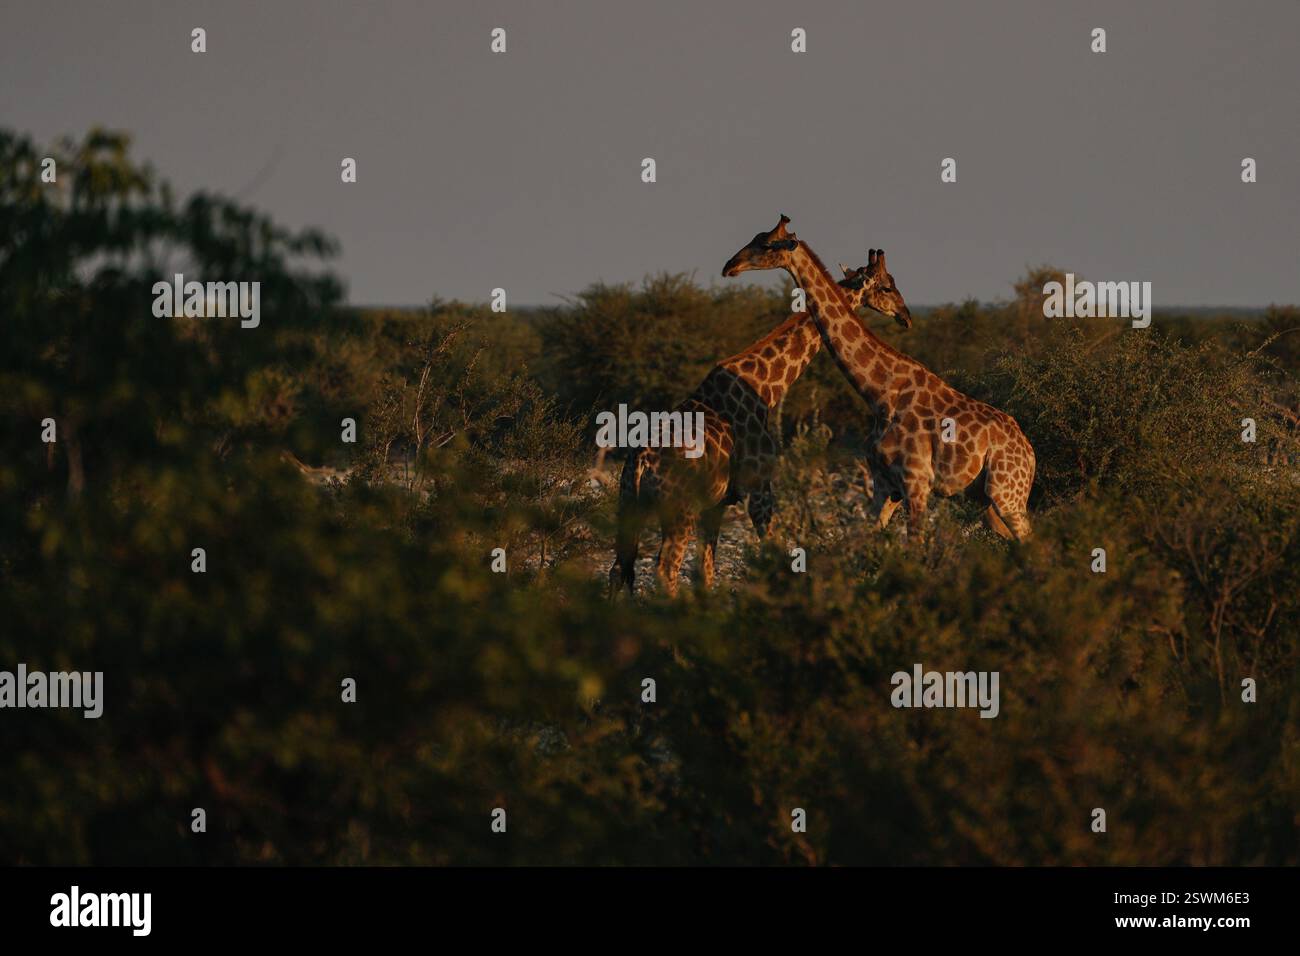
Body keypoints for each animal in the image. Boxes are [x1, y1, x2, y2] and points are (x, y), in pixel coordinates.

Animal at [608, 227, 913, 597]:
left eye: (762, 242)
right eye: (887, 286)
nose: (905, 315)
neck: (766, 385)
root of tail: (641, 463)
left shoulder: (716, 503)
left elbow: (705, 572)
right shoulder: (760, 489)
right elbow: (772, 552)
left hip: (629, 502)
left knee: (619, 570)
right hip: (678, 510)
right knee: (665, 570)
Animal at [722, 215, 1035, 542]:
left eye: (767, 244)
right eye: (755, 238)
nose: (730, 266)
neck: (880, 394)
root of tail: (1030, 453)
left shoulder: (917, 482)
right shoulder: (885, 485)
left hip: (1006, 494)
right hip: (986, 501)